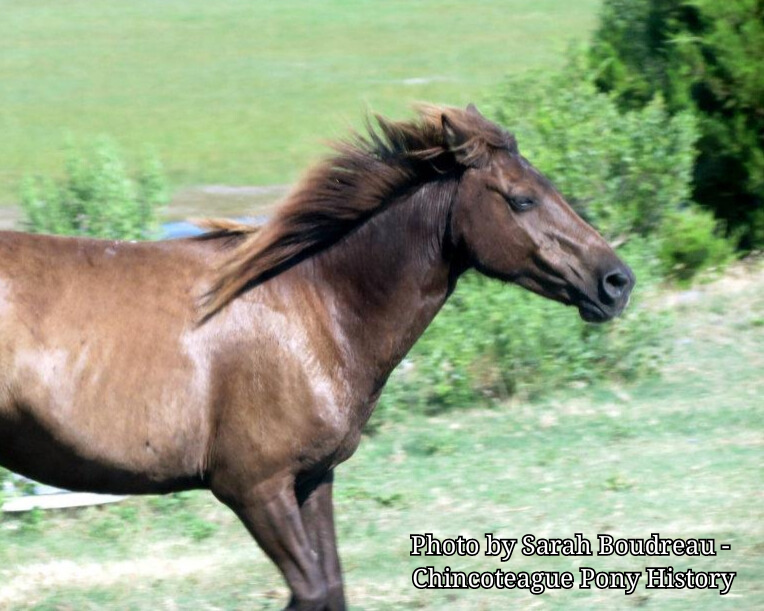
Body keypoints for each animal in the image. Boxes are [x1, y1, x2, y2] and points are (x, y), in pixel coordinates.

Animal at [0, 104, 634, 609]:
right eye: (522, 198)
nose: (616, 282)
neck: (315, 305)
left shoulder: (312, 479)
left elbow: (331, 588)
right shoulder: (255, 488)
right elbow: (309, 591)